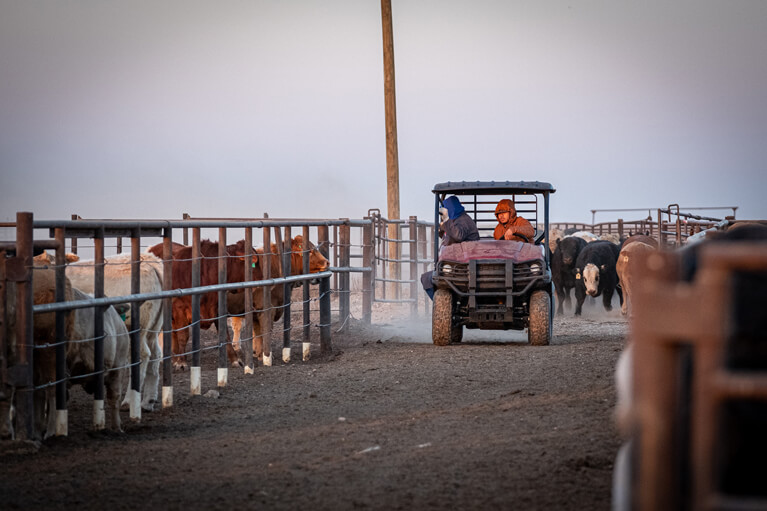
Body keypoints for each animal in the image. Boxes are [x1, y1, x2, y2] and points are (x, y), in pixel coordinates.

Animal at [66, 253, 163, 410]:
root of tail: (151, 262)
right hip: (153, 327)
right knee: (155, 355)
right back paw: (148, 402)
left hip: (134, 329)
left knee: (141, 356)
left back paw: (130, 401)